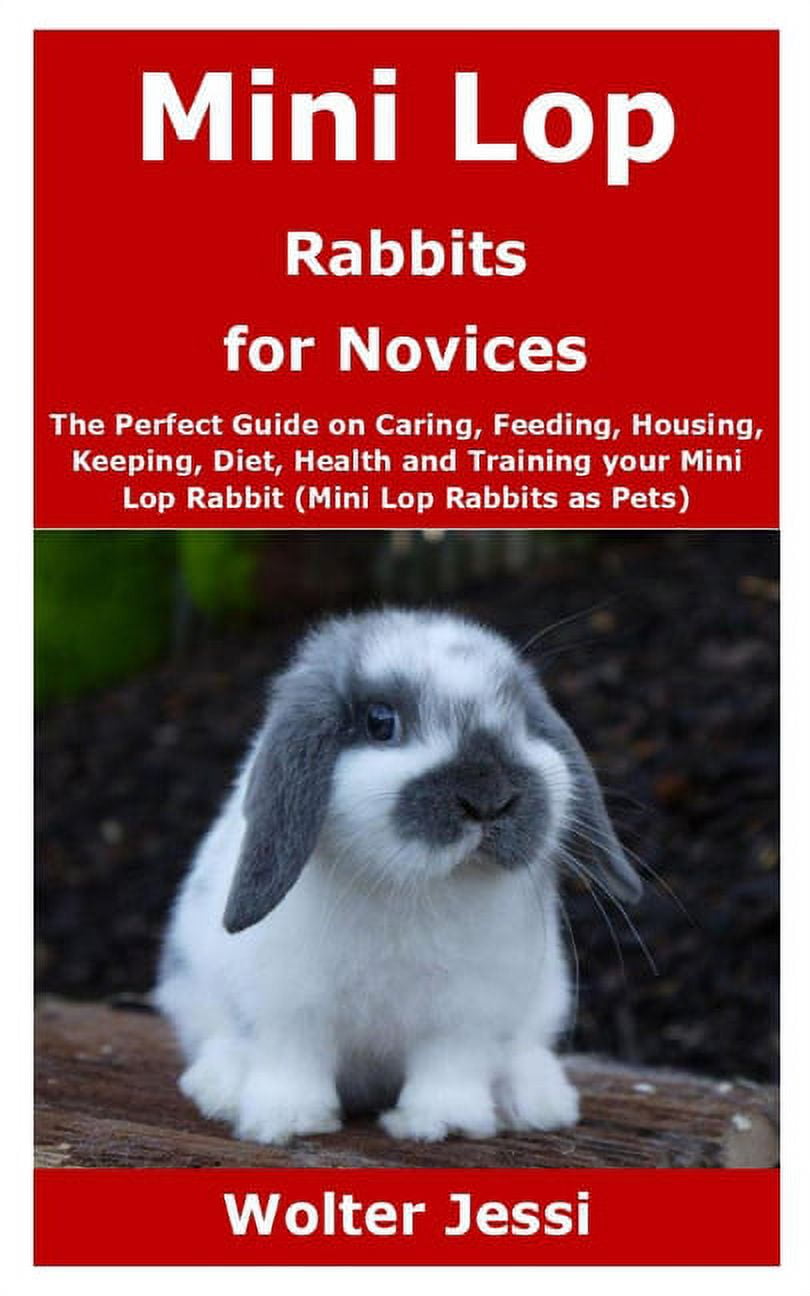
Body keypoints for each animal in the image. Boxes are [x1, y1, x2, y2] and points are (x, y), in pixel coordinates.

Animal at [155, 608, 641, 1144]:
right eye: (381, 722)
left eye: (519, 719)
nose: (489, 798)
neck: (415, 887)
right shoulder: (289, 1006)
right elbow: (292, 1061)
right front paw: (288, 1121)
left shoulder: (465, 1013)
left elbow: (450, 1065)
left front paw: (443, 1123)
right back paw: (217, 1086)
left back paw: (536, 1101)